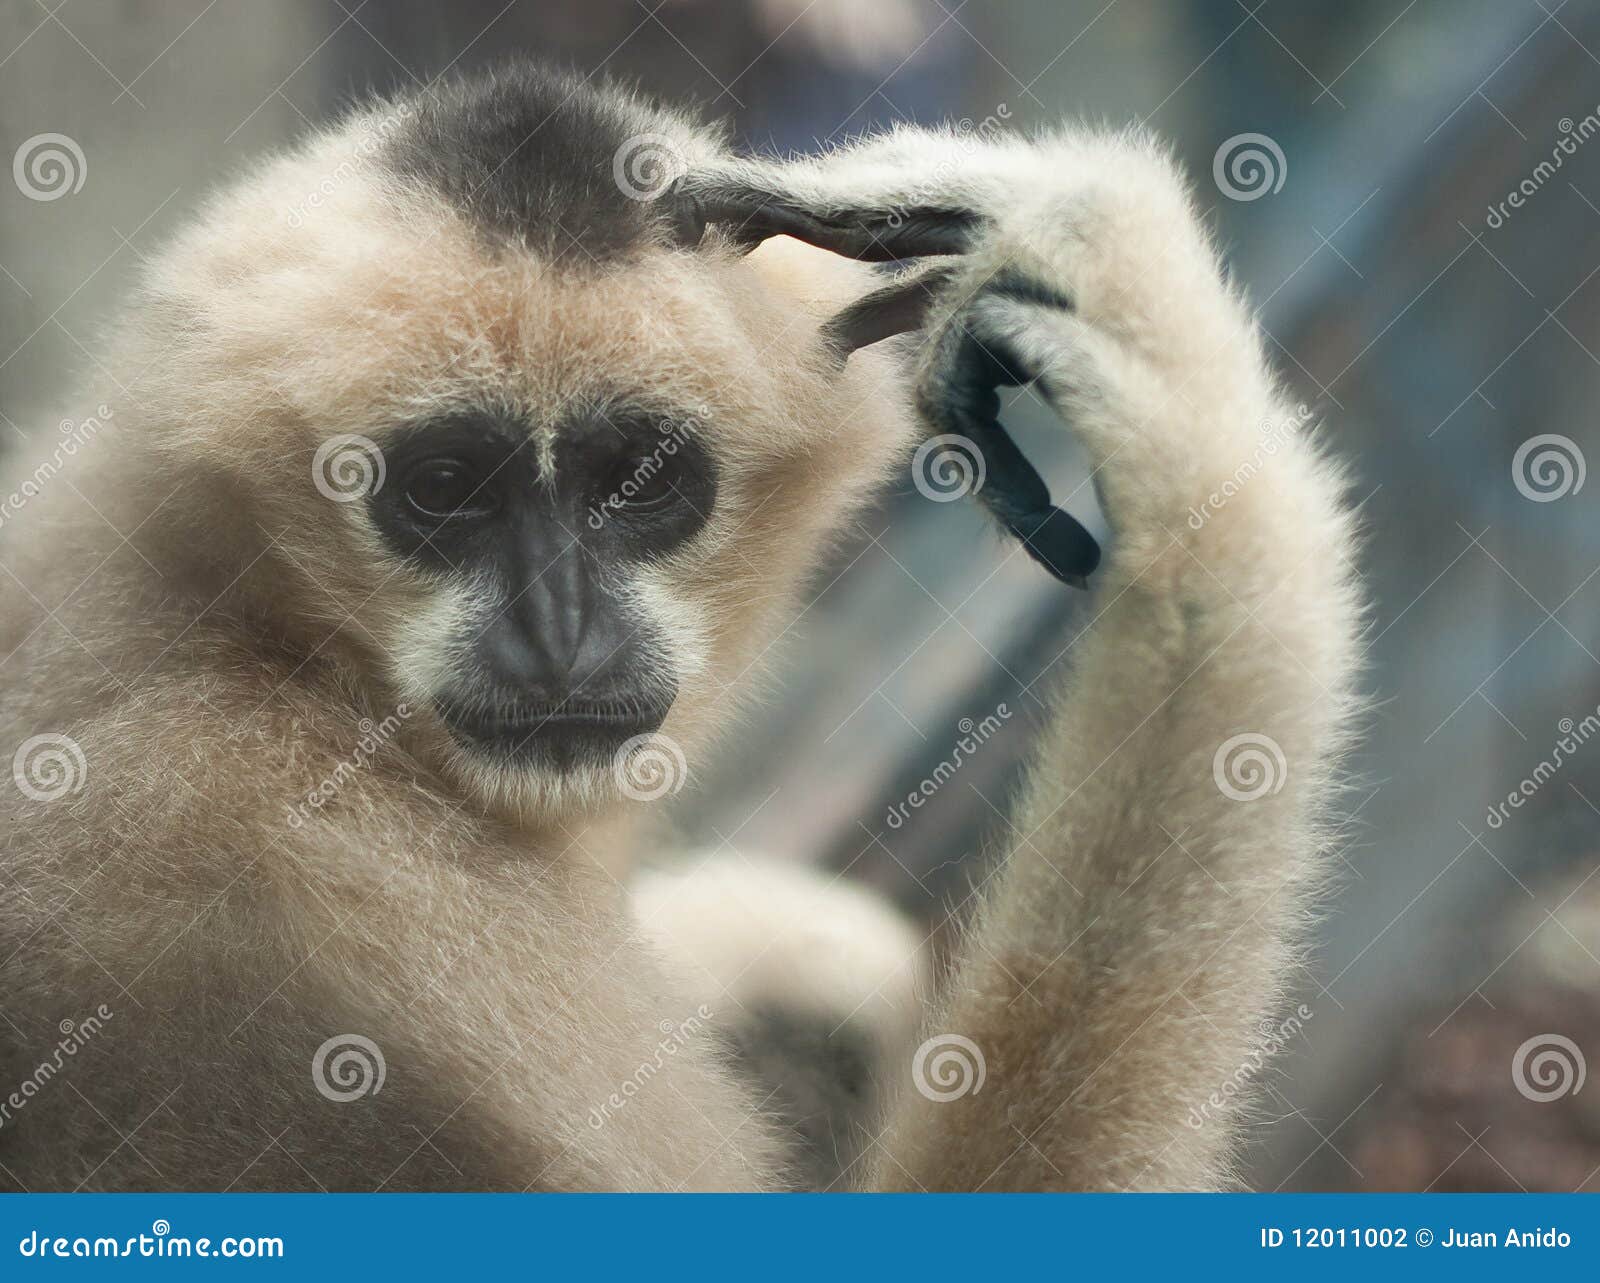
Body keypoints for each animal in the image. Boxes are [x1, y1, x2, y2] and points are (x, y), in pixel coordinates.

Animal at [0, 62, 1360, 1192]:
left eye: (638, 480)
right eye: (443, 485)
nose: (558, 631)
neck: (251, 636)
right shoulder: (294, 863)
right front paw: (1193, 451)